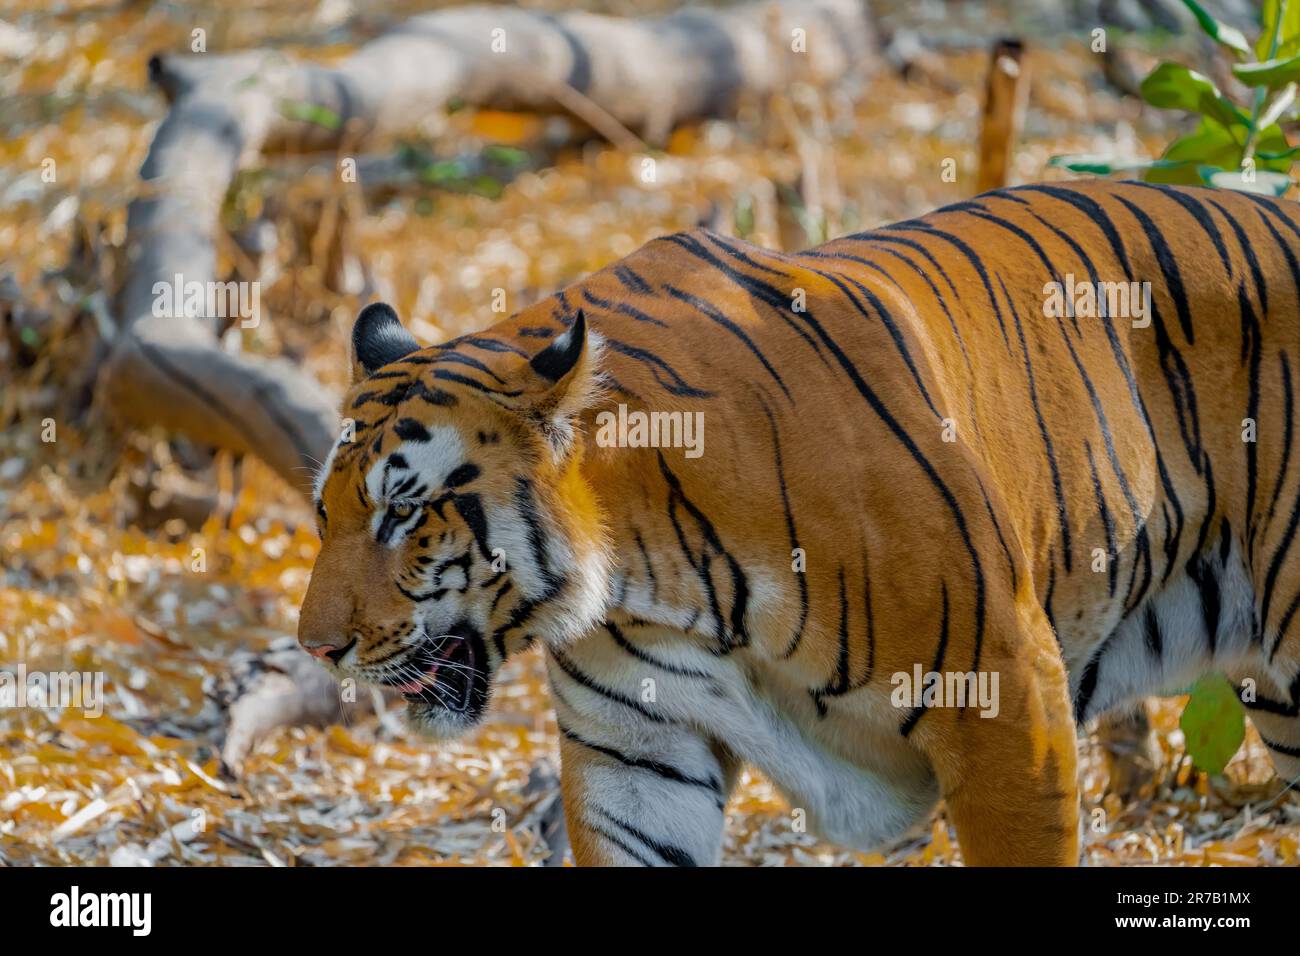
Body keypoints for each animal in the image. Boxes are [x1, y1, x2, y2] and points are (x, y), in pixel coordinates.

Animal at [298, 179, 1300, 866]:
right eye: (326, 514)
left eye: (403, 512)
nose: (316, 649)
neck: (647, 573)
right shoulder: (639, 752)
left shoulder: (1009, 696)